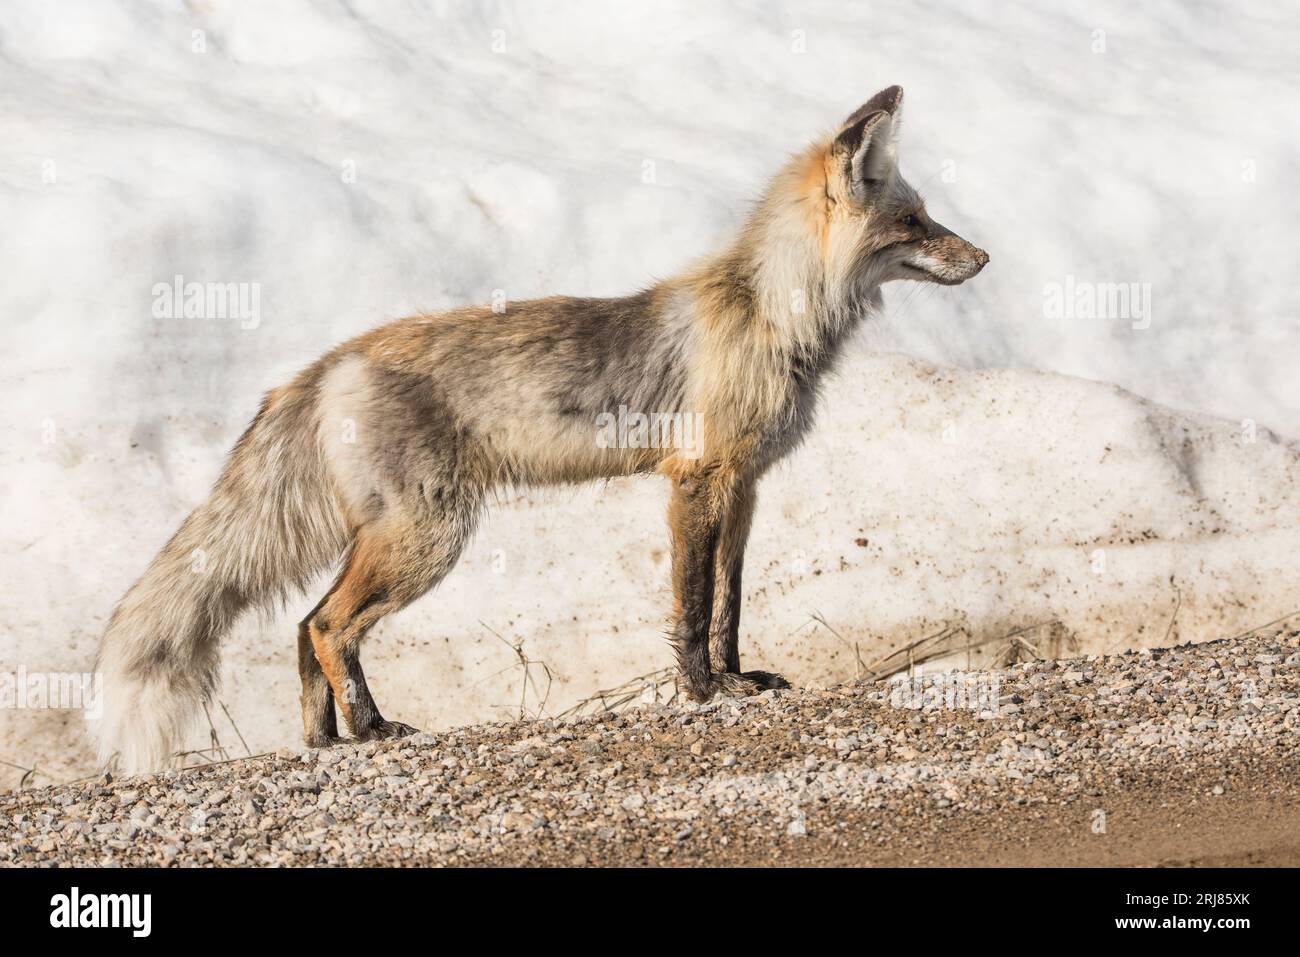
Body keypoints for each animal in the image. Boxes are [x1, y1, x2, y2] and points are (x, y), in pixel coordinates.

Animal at [95, 85, 988, 772]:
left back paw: (326, 741)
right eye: (915, 222)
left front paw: (738, 681)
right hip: (428, 537)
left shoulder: (745, 486)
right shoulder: (695, 481)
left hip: (392, 537)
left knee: (303, 626)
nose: (983, 259)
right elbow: (693, 607)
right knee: (326, 625)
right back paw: (370, 728)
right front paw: (701, 693)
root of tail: (326, 362)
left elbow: (730, 606)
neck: (773, 317)